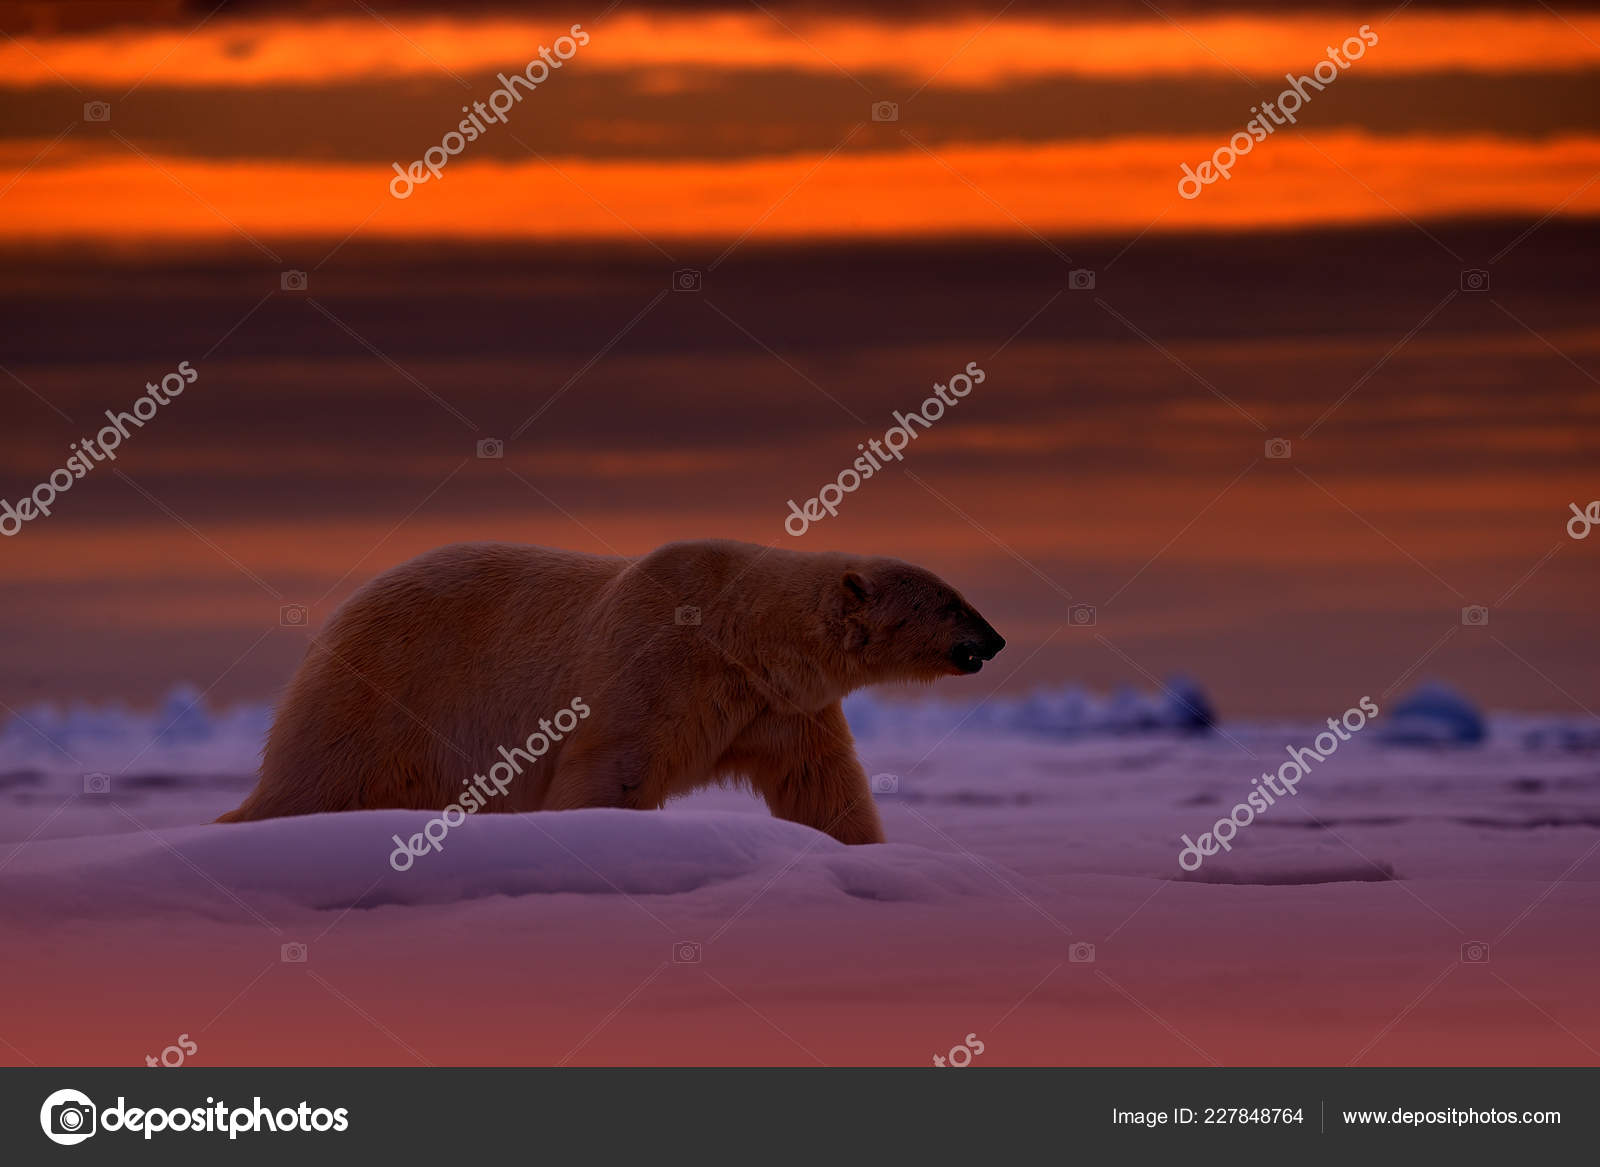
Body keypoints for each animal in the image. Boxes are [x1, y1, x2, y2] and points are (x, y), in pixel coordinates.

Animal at [216, 539, 1005, 844]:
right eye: (947, 602)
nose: (995, 639)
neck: (740, 631)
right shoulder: (655, 668)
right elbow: (608, 769)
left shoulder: (779, 705)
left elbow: (821, 783)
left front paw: (862, 847)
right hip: (386, 690)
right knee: (315, 777)